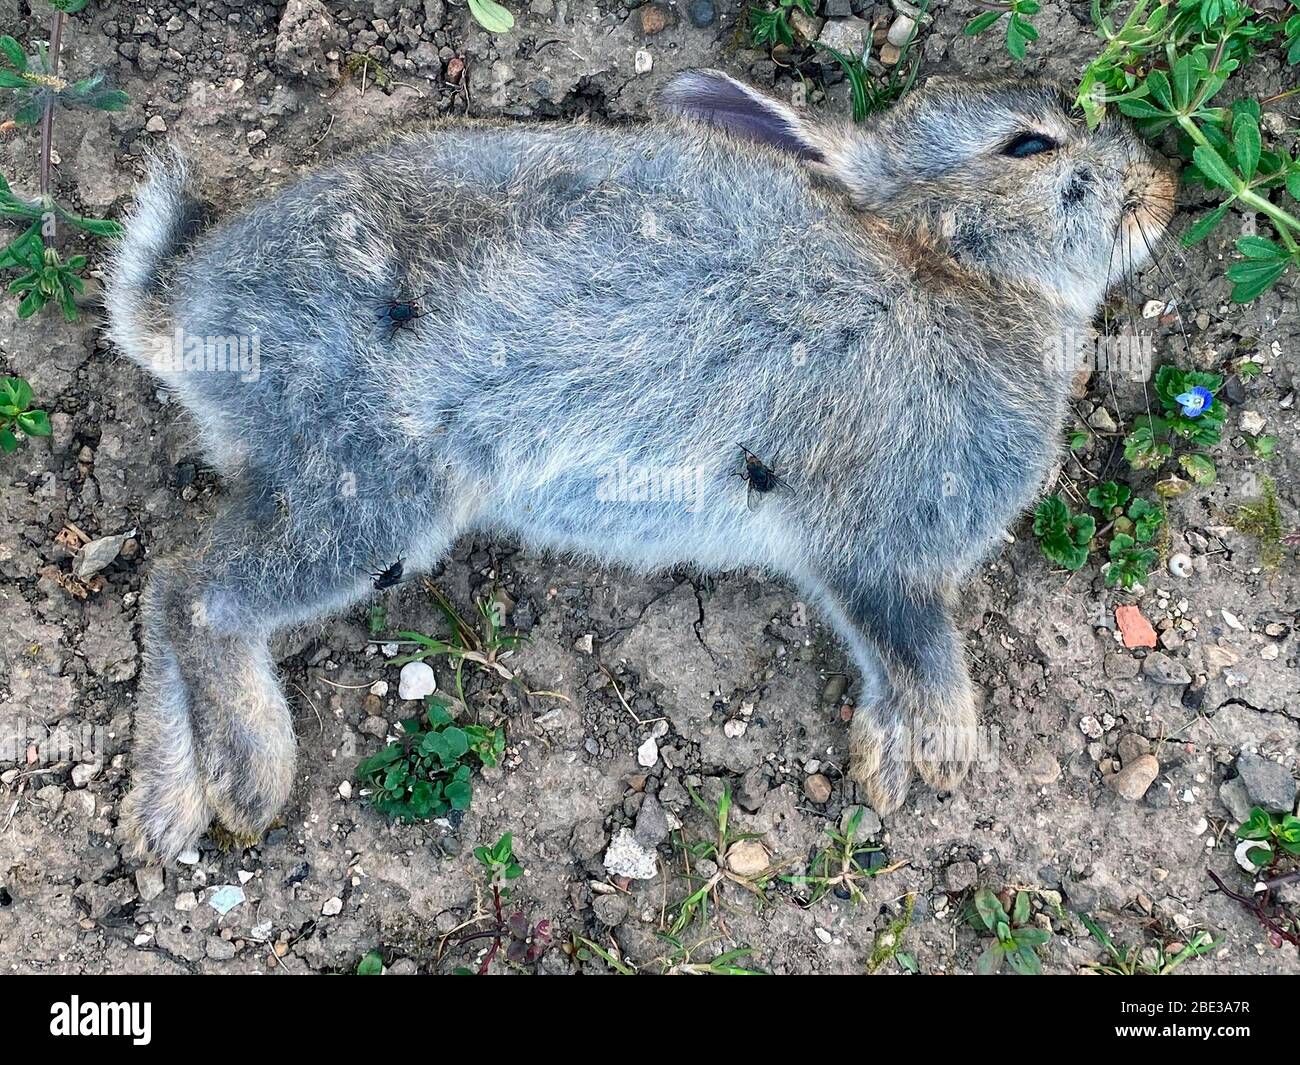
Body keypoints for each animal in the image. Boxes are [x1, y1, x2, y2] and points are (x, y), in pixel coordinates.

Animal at [104, 69, 1176, 862]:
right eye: (1030, 146)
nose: (1163, 182)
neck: (957, 269)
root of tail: (178, 317)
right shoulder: (884, 554)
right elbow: (922, 653)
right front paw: (948, 757)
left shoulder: (854, 572)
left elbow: (882, 667)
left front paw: (883, 766)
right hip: (368, 489)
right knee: (198, 594)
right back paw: (248, 780)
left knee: (168, 588)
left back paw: (164, 812)